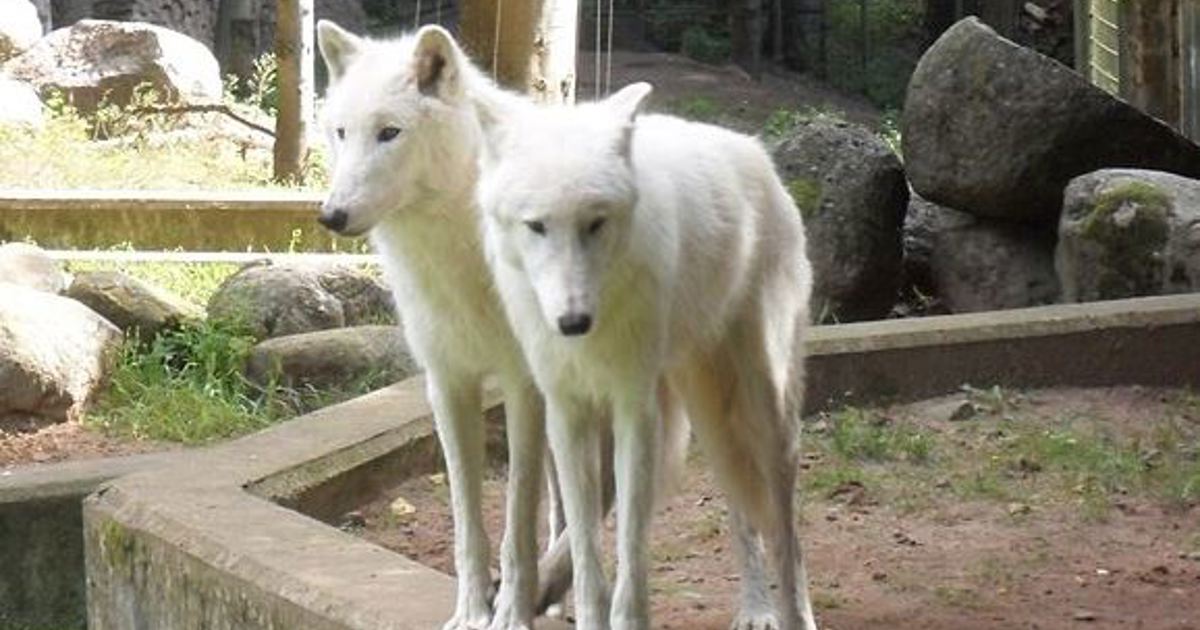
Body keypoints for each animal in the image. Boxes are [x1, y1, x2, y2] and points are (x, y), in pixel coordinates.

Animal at [474, 79, 818, 630]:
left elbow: (631, 550)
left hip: (764, 413)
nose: (573, 323)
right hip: (708, 416)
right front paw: (582, 611)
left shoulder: (635, 410)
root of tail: (755, 151)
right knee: (737, 509)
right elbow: (589, 552)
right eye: (537, 226)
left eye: (595, 223)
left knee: (784, 530)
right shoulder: (567, 411)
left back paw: (785, 611)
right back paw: (751, 606)